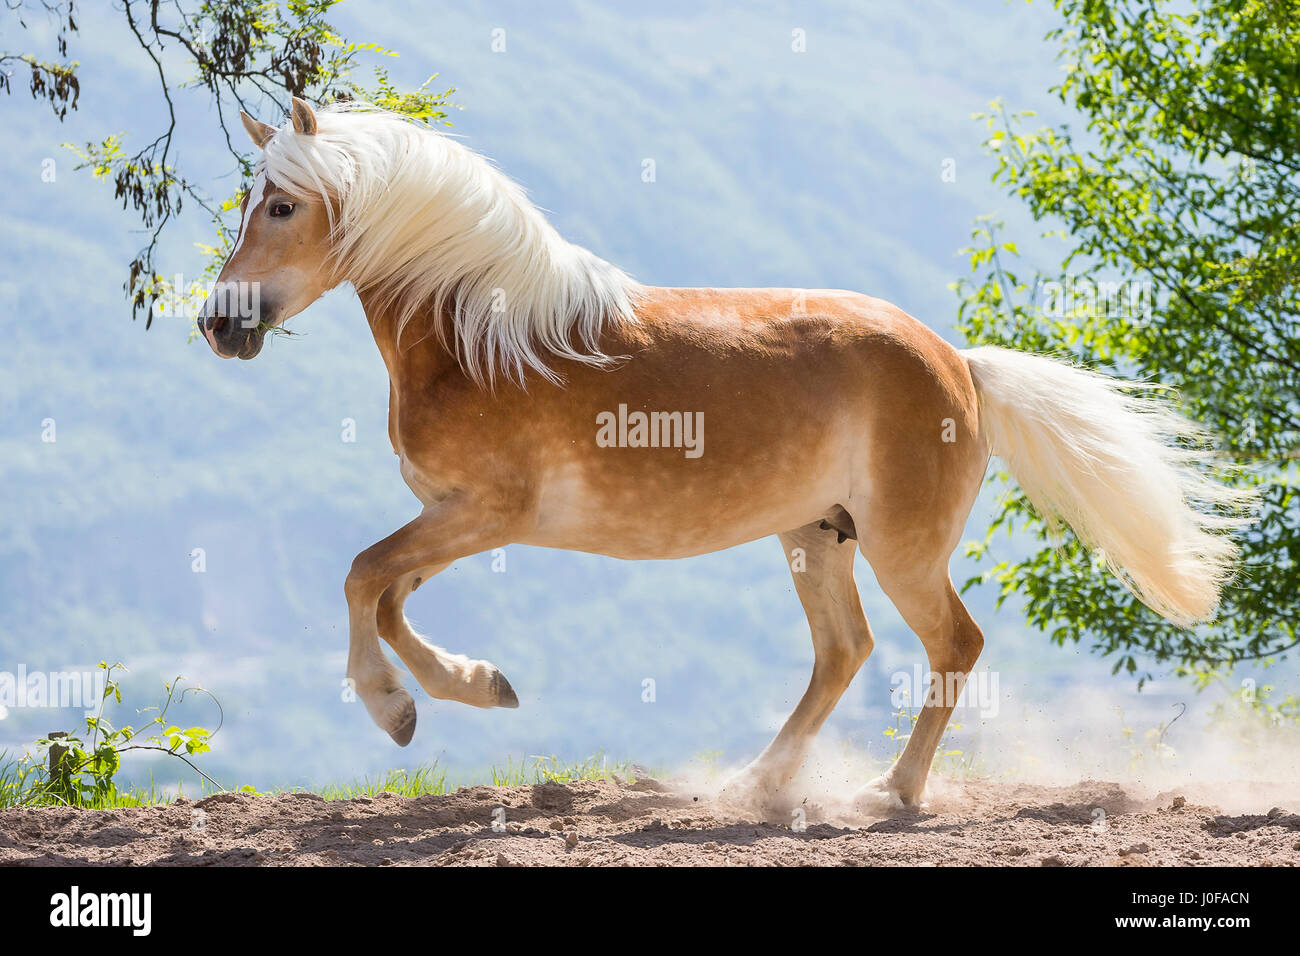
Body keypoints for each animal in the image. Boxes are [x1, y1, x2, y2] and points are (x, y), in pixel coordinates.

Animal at [199, 97, 1247, 812]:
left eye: (282, 205)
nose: (218, 324)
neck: (484, 340)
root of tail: (959, 362)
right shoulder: (451, 518)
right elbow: (386, 594)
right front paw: (475, 688)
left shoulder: (487, 514)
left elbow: (359, 575)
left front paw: (396, 710)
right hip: (817, 534)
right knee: (844, 651)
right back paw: (758, 785)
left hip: (902, 546)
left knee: (952, 645)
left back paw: (888, 793)